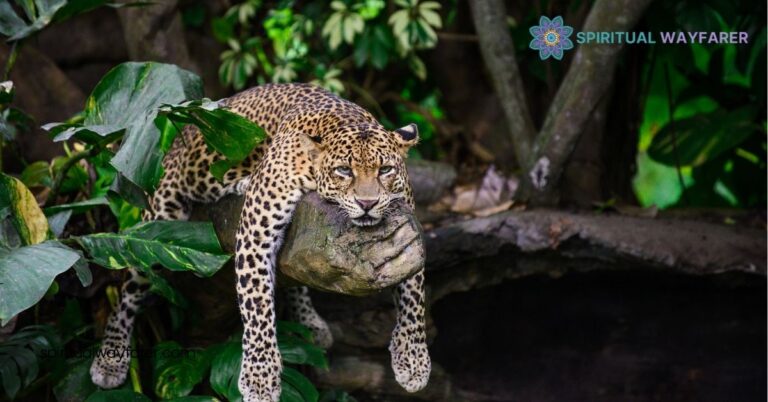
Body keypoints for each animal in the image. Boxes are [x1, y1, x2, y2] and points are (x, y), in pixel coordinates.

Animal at [89, 83, 431, 401]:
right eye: (344, 170)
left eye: (385, 169)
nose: (367, 203)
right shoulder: (256, 232)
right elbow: (257, 306)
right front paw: (260, 379)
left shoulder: (410, 231)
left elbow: (414, 296)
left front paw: (413, 359)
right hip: (158, 216)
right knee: (129, 287)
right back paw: (110, 359)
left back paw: (311, 323)